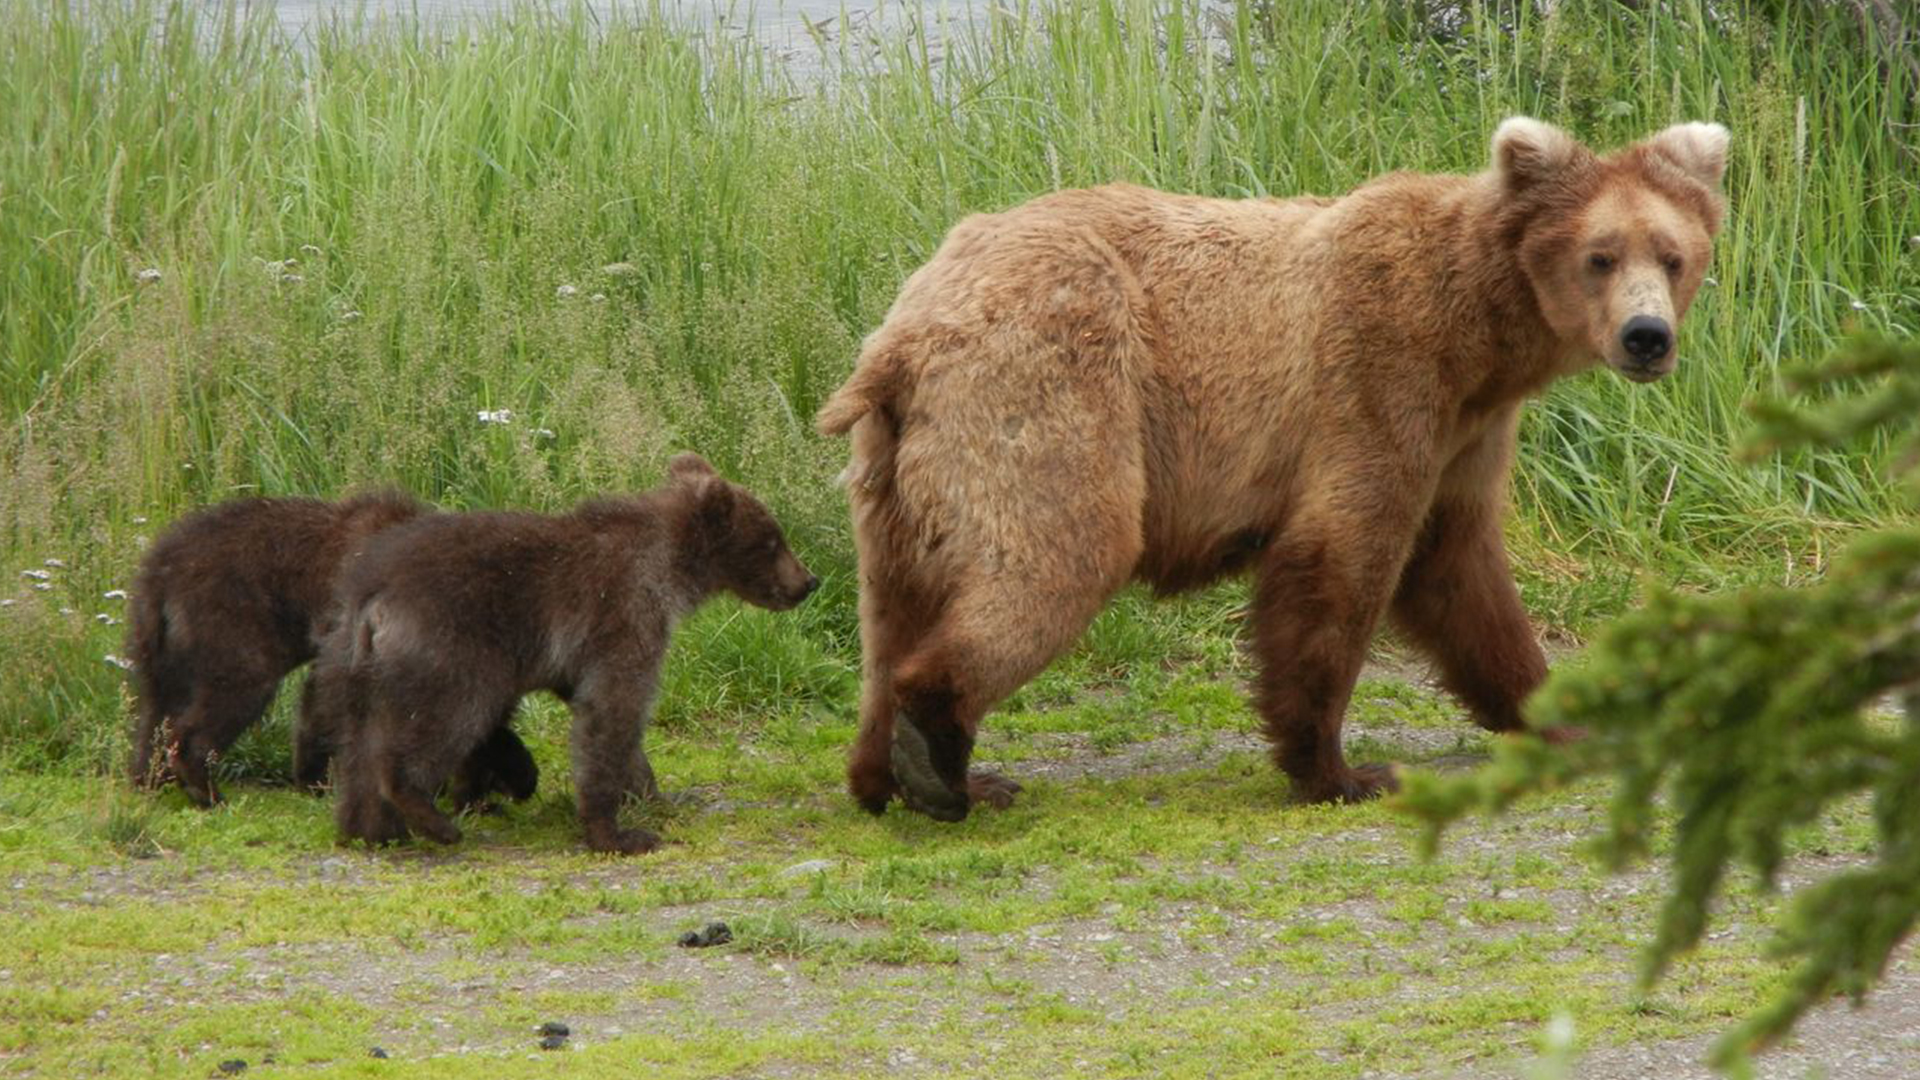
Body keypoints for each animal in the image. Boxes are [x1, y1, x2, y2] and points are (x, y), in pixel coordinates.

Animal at [125, 492, 541, 808]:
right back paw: (206, 788)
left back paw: (150, 777)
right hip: (229, 621)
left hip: (160, 643)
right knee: (230, 693)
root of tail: (159, 568)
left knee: (155, 710)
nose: (480, 796)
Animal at [316, 453, 819, 855]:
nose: (809, 581)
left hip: (356, 665)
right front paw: (619, 833)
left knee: (358, 740)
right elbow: (611, 711)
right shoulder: (623, 617)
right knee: (444, 719)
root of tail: (373, 593)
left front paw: (654, 795)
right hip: (451, 649)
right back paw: (432, 819)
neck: (671, 570)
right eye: (773, 540)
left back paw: (371, 829)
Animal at [815, 117, 1729, 820]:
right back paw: (940, 758)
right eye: (1601, 255)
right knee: (1061, 551)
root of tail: (905, 334)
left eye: (1673, 255)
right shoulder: (1379, 373)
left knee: (893, 604)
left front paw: (1559, 716)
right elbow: (1345, 555)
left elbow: (1461, 571)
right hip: (1052, 385)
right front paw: (1343, 770)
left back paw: (892, 772)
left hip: (898, 467)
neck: (1483, 335)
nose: (1648, 337)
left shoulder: (1468, 430)